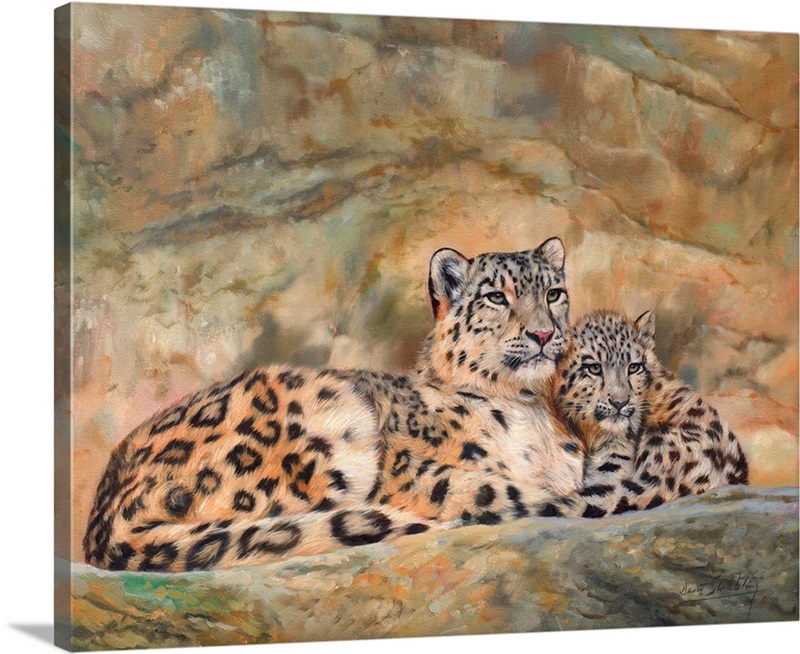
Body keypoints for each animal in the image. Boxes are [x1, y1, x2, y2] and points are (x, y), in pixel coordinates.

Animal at [83, 237, 587, 572]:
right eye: (496, 296)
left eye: (554, 293)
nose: (544, 334)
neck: (527, 409)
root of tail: (103, 520)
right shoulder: (417, 474)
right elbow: (502, 489)